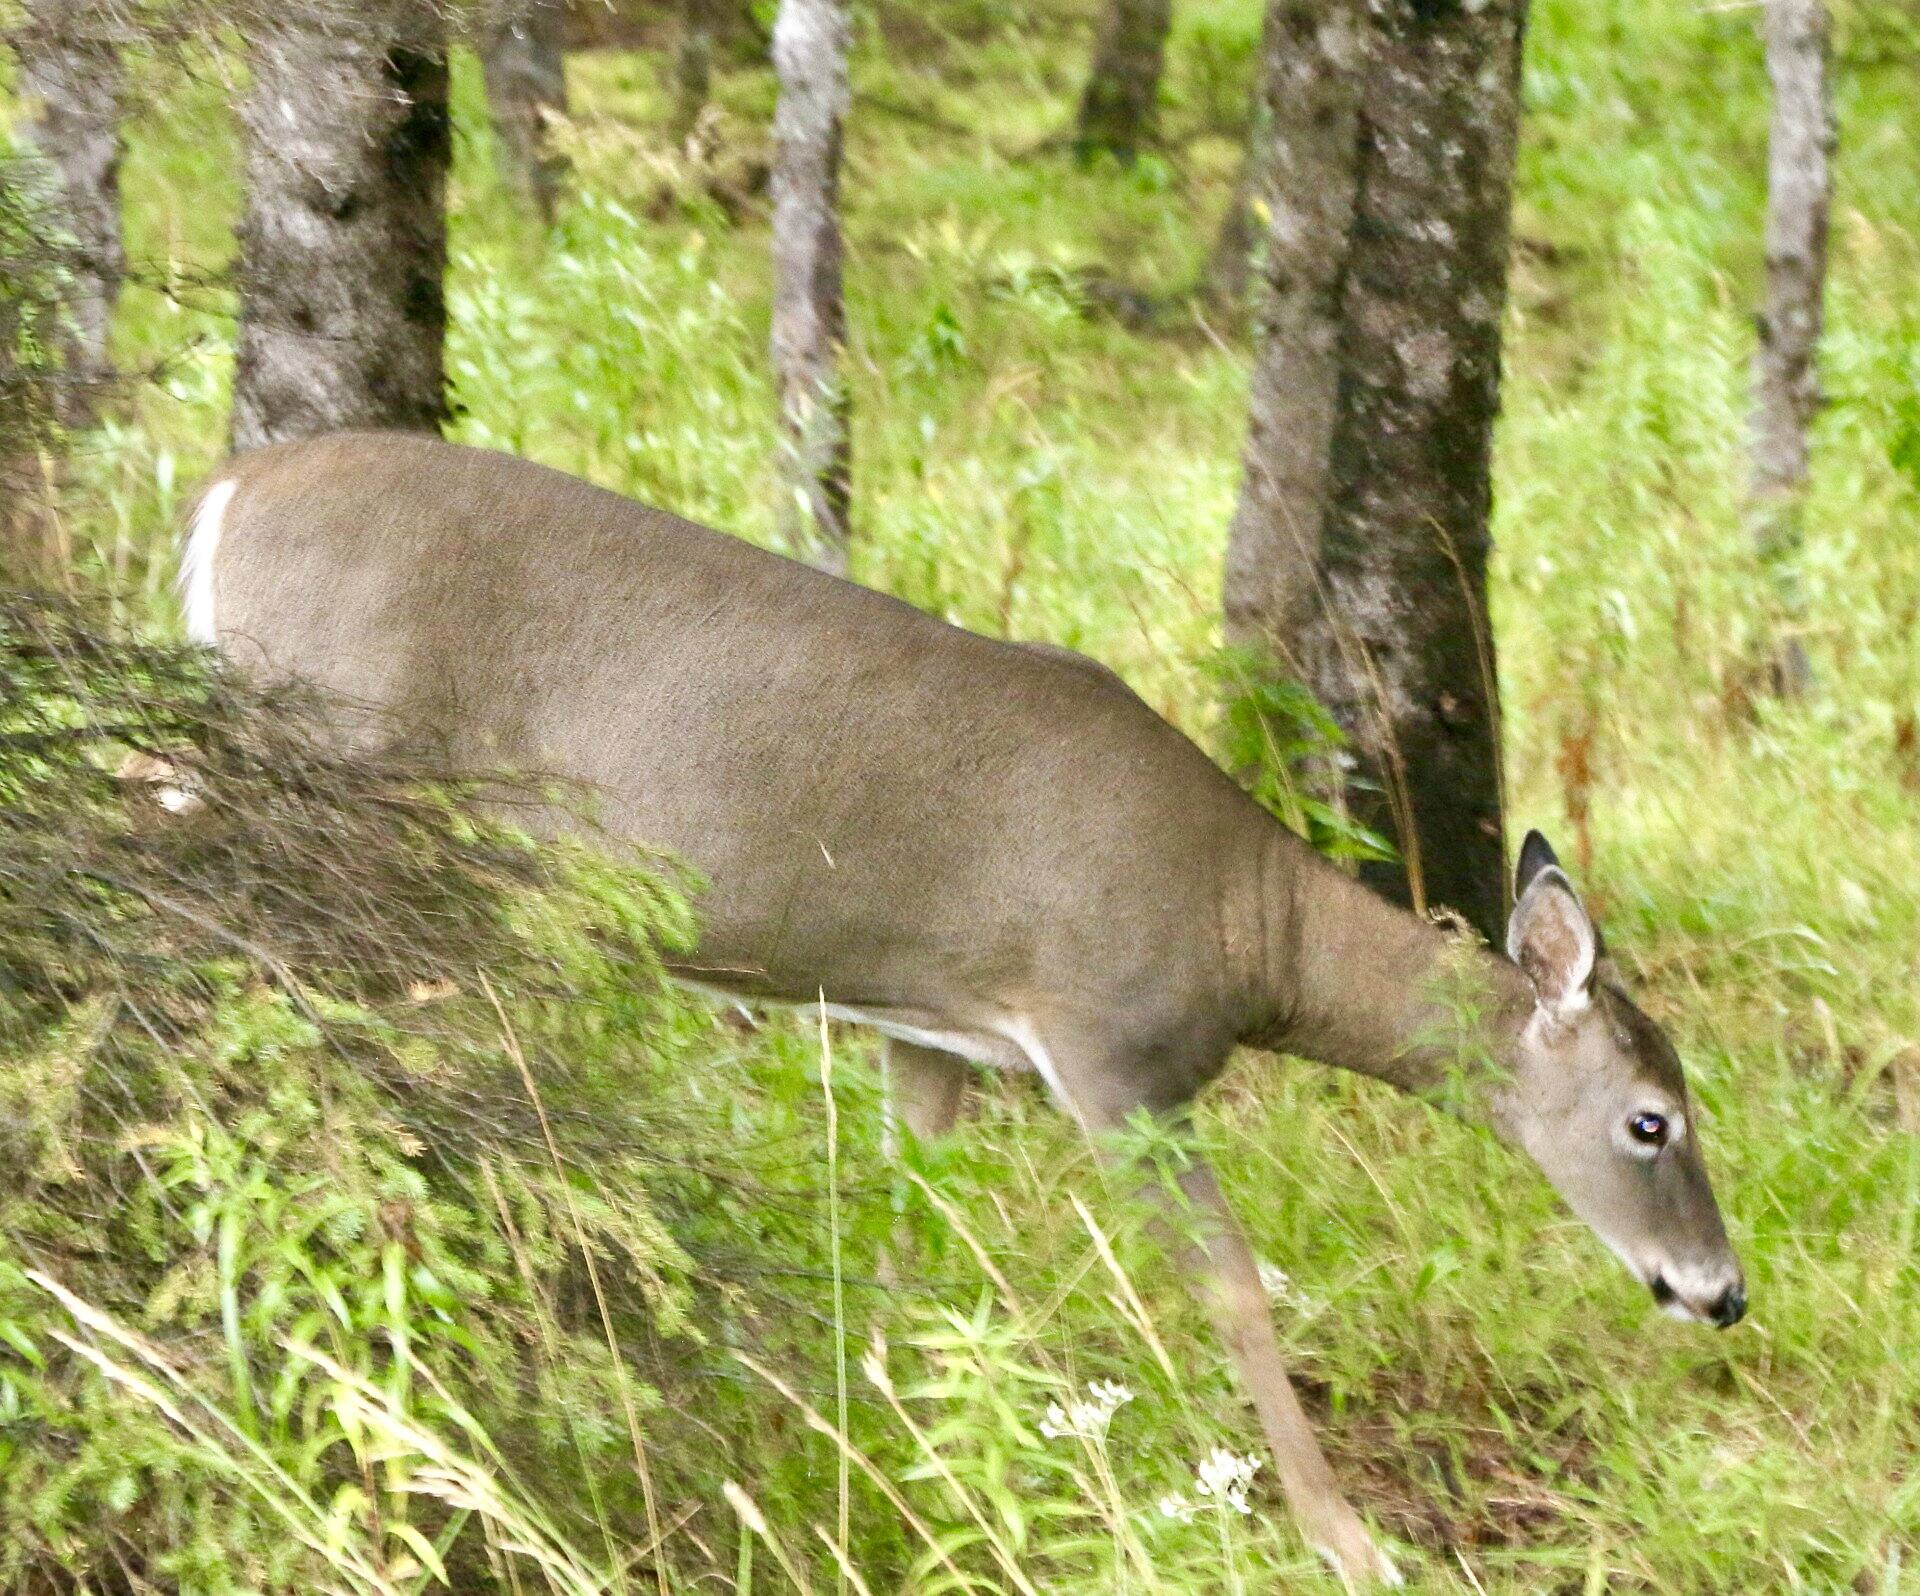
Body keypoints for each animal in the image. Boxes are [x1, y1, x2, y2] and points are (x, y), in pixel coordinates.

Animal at [182, 431, 1746, 1589]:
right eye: (1651, 1119)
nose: (1720, 1292)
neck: (1251, 933)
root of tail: (224, 494)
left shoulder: (924, 1032)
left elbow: (902, 1245)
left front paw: (884, 1446)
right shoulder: (1111, 1050)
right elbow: (1235, 1286)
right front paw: (1348, 1543)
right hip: (325, 760)